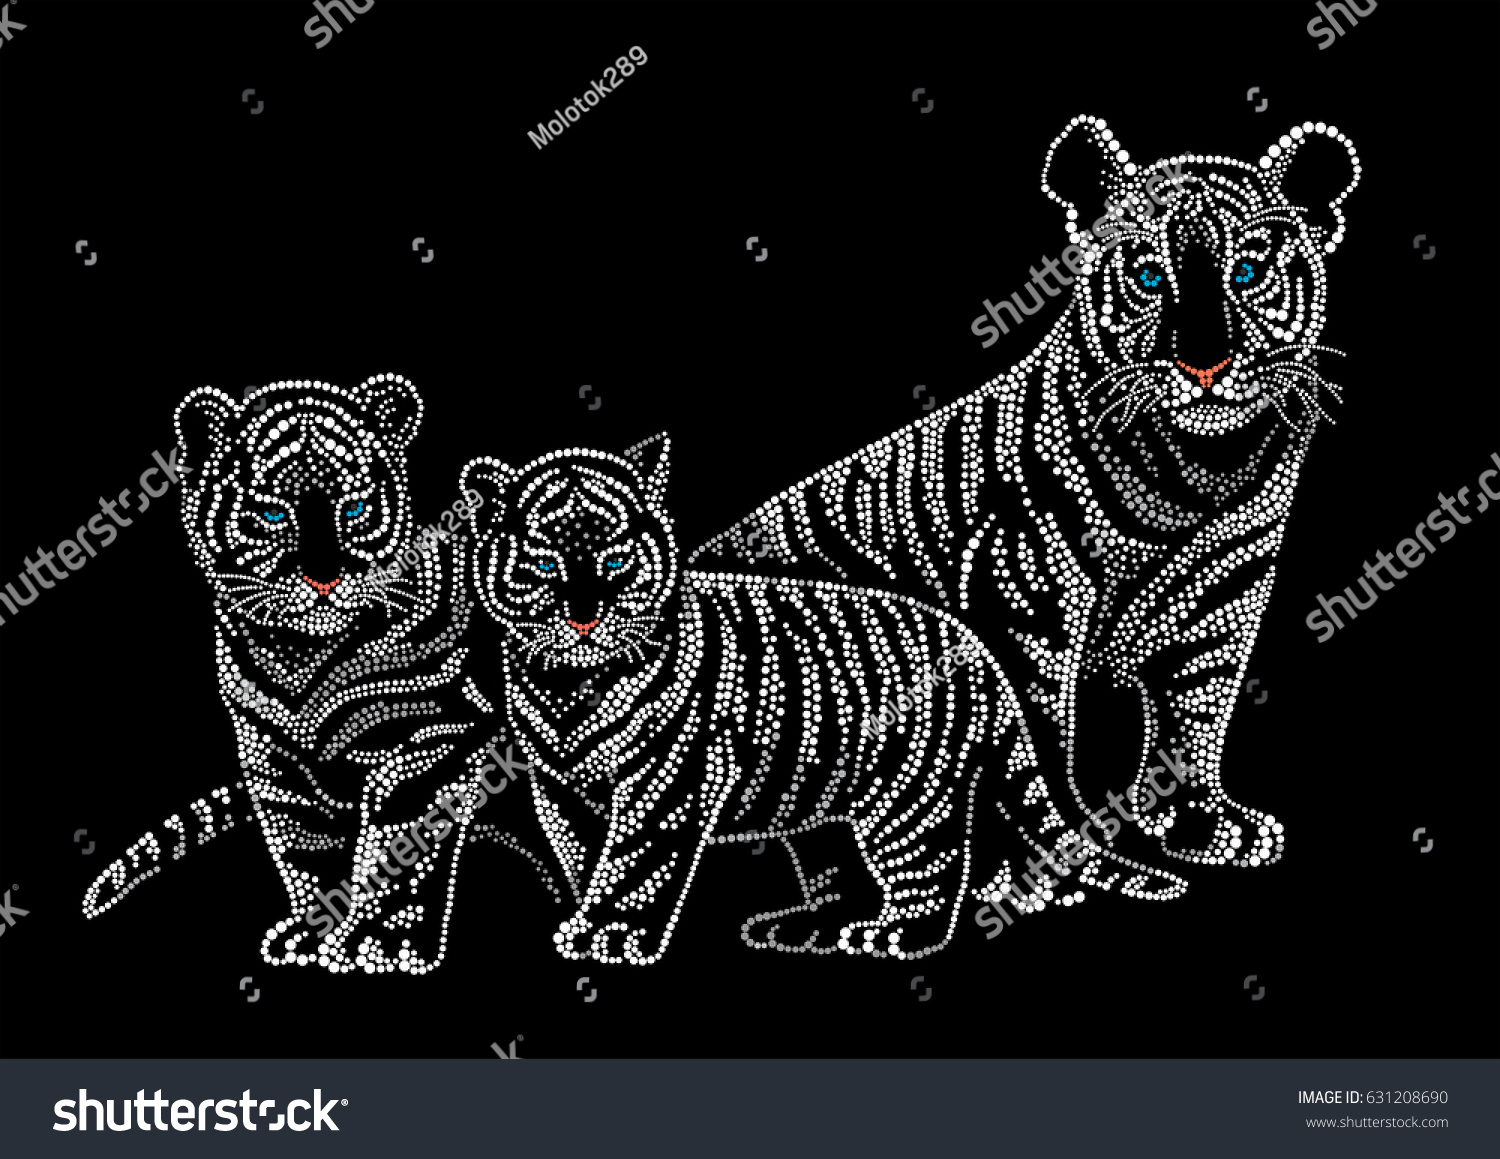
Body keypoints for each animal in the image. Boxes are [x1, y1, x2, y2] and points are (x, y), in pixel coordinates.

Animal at [81, 375, 562, 973]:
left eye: (355, 509)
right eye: (271, 516)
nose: (323, 579)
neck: (301, 659)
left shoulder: (436, 739)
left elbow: (401, 846)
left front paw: (385, 943)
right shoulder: (277, 758)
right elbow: (309, 850)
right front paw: (315, 935)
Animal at [455, 432, 1120, 966]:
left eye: (616, 561)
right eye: (545, 565)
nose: (585, 618)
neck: (570, 685)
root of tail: (977, 647)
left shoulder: (669, 782)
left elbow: (636, 859)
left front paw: (613, 934)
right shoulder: (559, 789)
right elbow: (584, 856)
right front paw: (582, 923)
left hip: (908, 798)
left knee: (928, 870)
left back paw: (892, 935)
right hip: (818, 798)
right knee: (841, 869)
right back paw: (804, 928)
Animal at [691, 116, 1362, 897]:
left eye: (1247, 273)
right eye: (1149, 275)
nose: (1204, 365)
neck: (1200, 472)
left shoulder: (1227, 590)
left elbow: (1197, 713)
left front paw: (1202, 824)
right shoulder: (1023, 595)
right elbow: (1041, 736)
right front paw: (1067, 849)